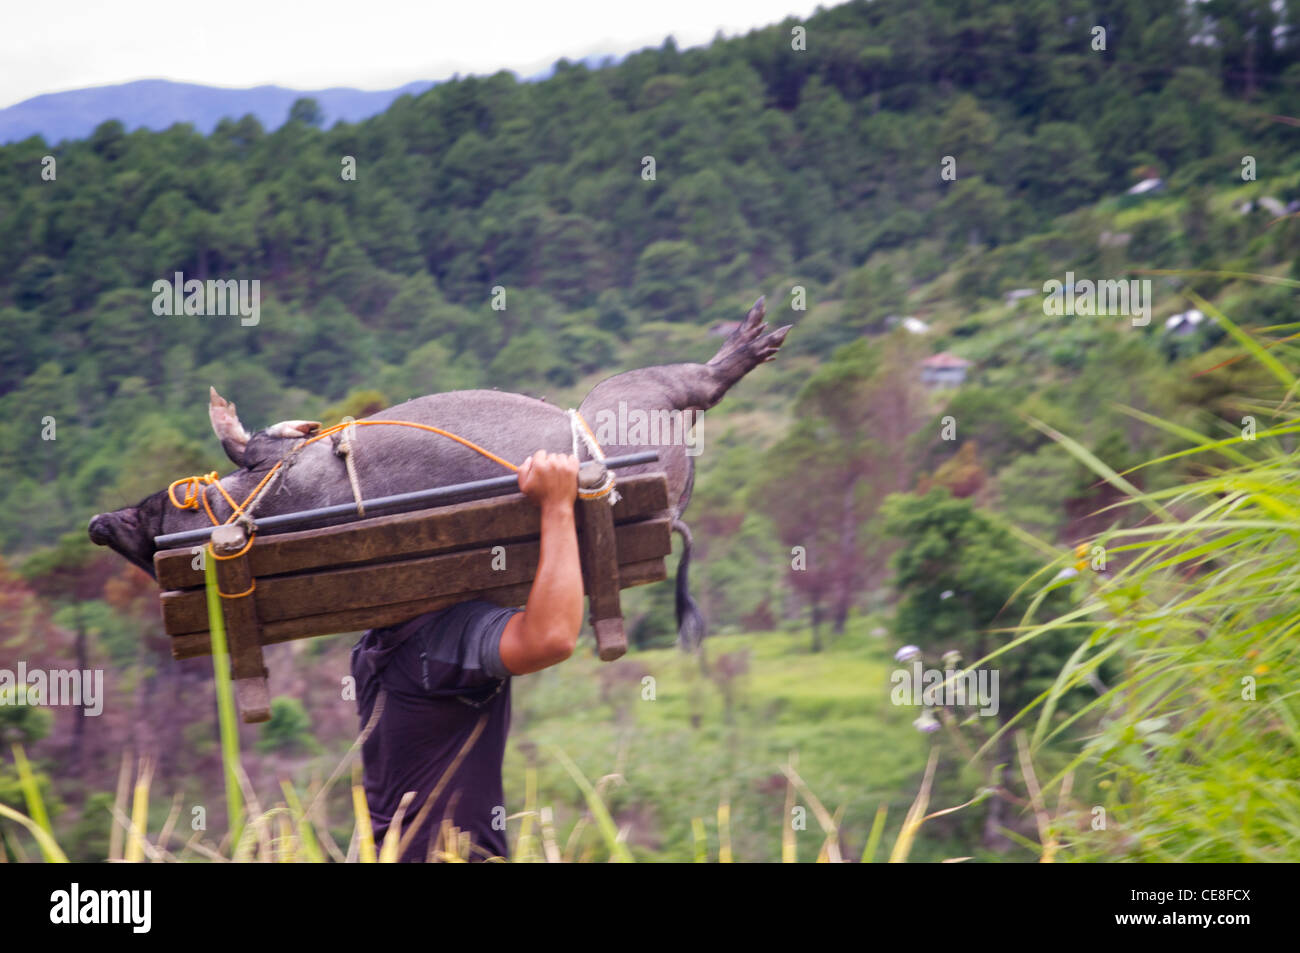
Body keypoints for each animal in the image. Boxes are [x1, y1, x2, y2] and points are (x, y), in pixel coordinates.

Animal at [89, 298, 790, 647]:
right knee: (699, 384)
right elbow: (248, 439)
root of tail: (672, 507)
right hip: (628, 399)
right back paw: (759, 336)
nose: (97, 522)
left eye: (147, 513)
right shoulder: (266, 464)